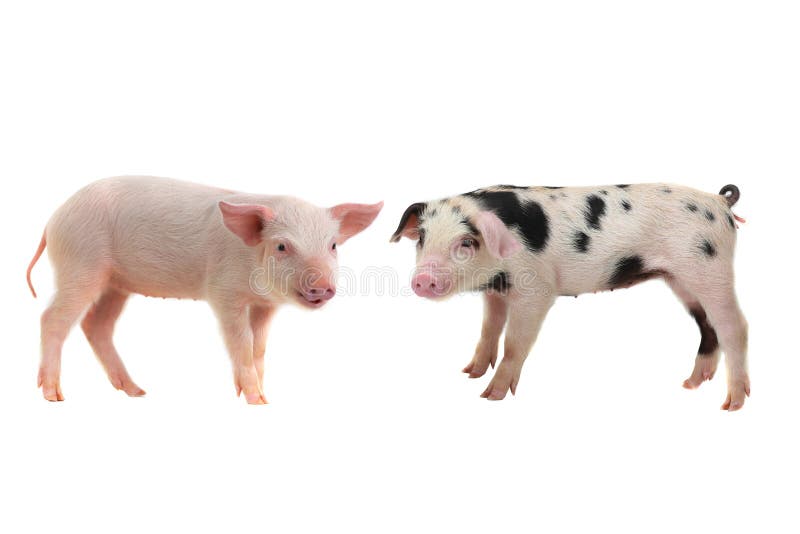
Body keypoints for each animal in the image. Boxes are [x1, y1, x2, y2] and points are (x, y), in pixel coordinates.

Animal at [27, 176, 382, 404]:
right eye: (282, 246)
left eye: (332, 245)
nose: (322, 285)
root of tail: (54, 218)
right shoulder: (224, 294)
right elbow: (241, 345)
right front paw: (256, 401)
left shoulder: (265, 305)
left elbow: (259, 348)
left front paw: (264, 396)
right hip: (80, 265)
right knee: (51, 318)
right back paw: (55, 396)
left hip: (116, 283)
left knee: (96, 324)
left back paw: (136, 392)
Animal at [391, 183, 749, 411]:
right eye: (421, 238)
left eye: (466, 242)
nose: (422, 279)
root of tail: (721, 204)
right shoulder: (496, 293)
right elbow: (489, 329)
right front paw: (470, 372)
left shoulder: (536, 290)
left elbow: (514, 344)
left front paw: (490, 396)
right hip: (681, 280)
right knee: (708, 326)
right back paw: (691, 384)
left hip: (711, 269)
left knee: (735, 327)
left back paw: (731, 404)